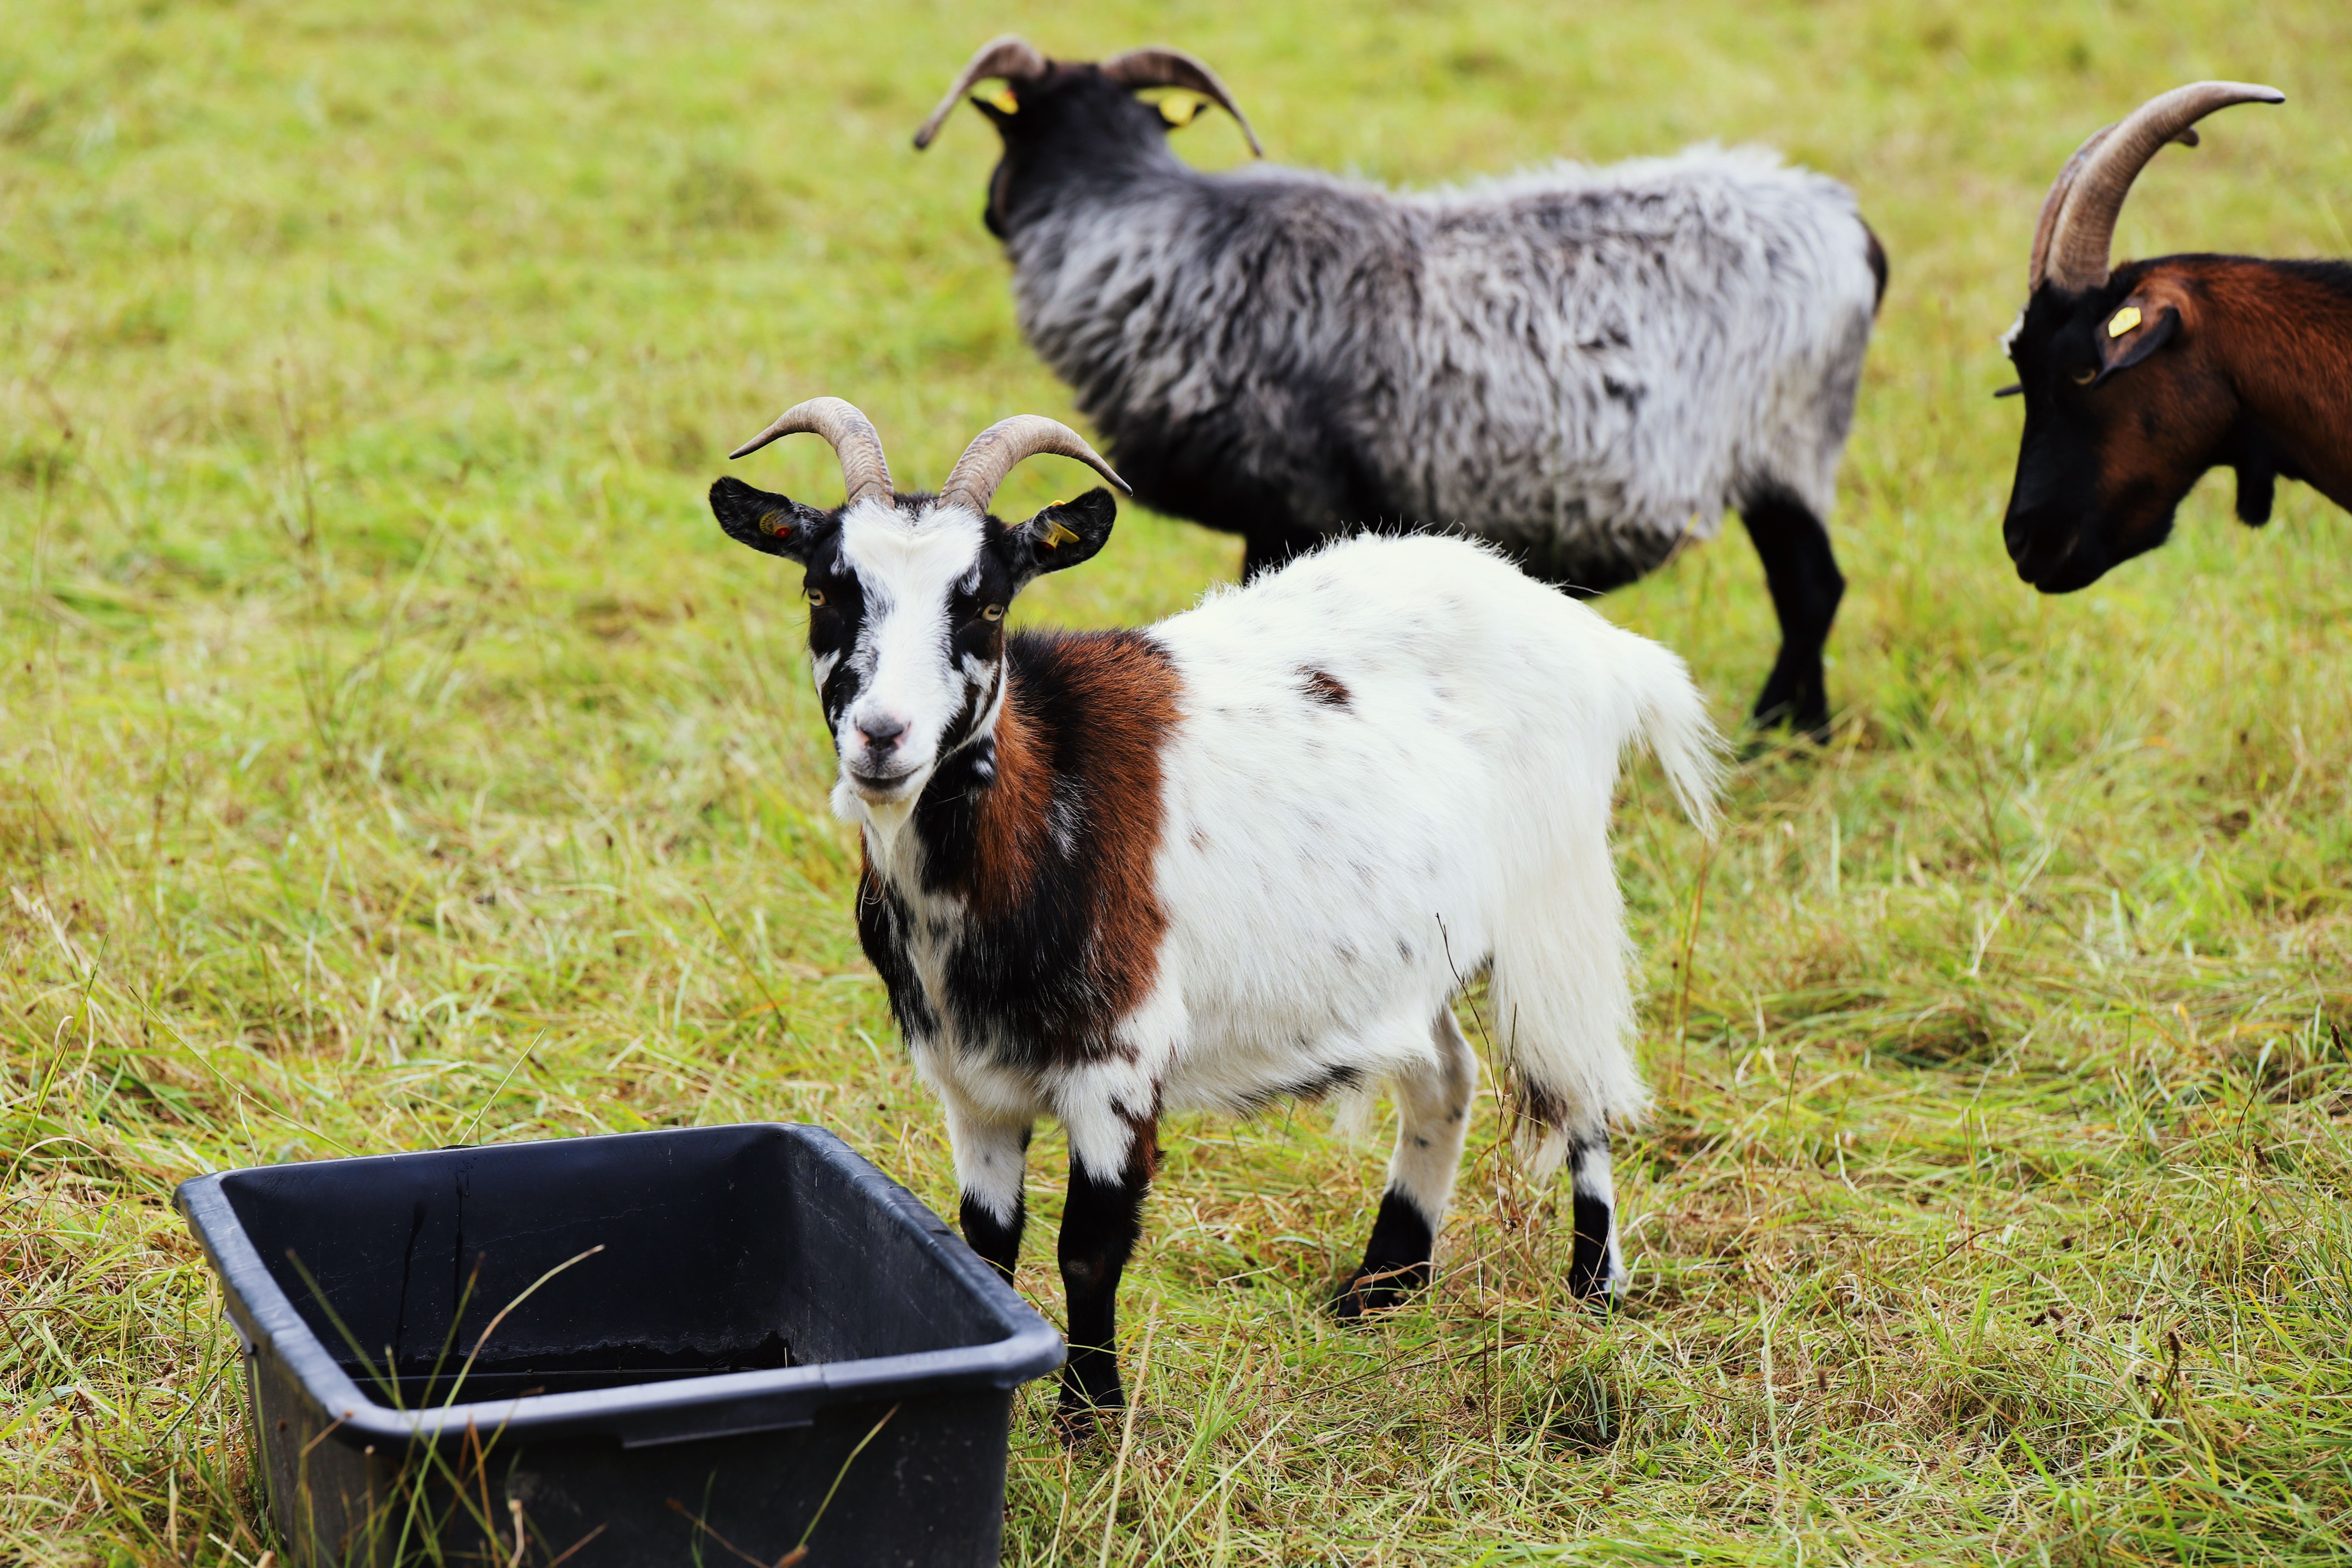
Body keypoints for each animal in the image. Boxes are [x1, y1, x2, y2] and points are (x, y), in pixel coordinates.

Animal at [708, 398, 1721, 1428]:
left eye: (985, 603)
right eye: (823, 591)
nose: (884, 737)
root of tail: (1593, 638)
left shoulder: (1117, 1061)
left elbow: (1089, 1245)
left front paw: (1090, 1418)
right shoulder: (971, 1082)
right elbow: (985, 1248)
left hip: (1554, 900)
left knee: (1581, 1089)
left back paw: (1594, 1291)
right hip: (1414, 951)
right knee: (1447, 1075)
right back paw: (1384, 1287)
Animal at [912, 35, 1886, 739]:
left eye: (1007, 129)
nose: (988, 210)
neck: (1147, 237)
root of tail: (1846, 223)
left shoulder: (1293, 502)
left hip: (1787, 447)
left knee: (1811, 589)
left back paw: (1784, 733)